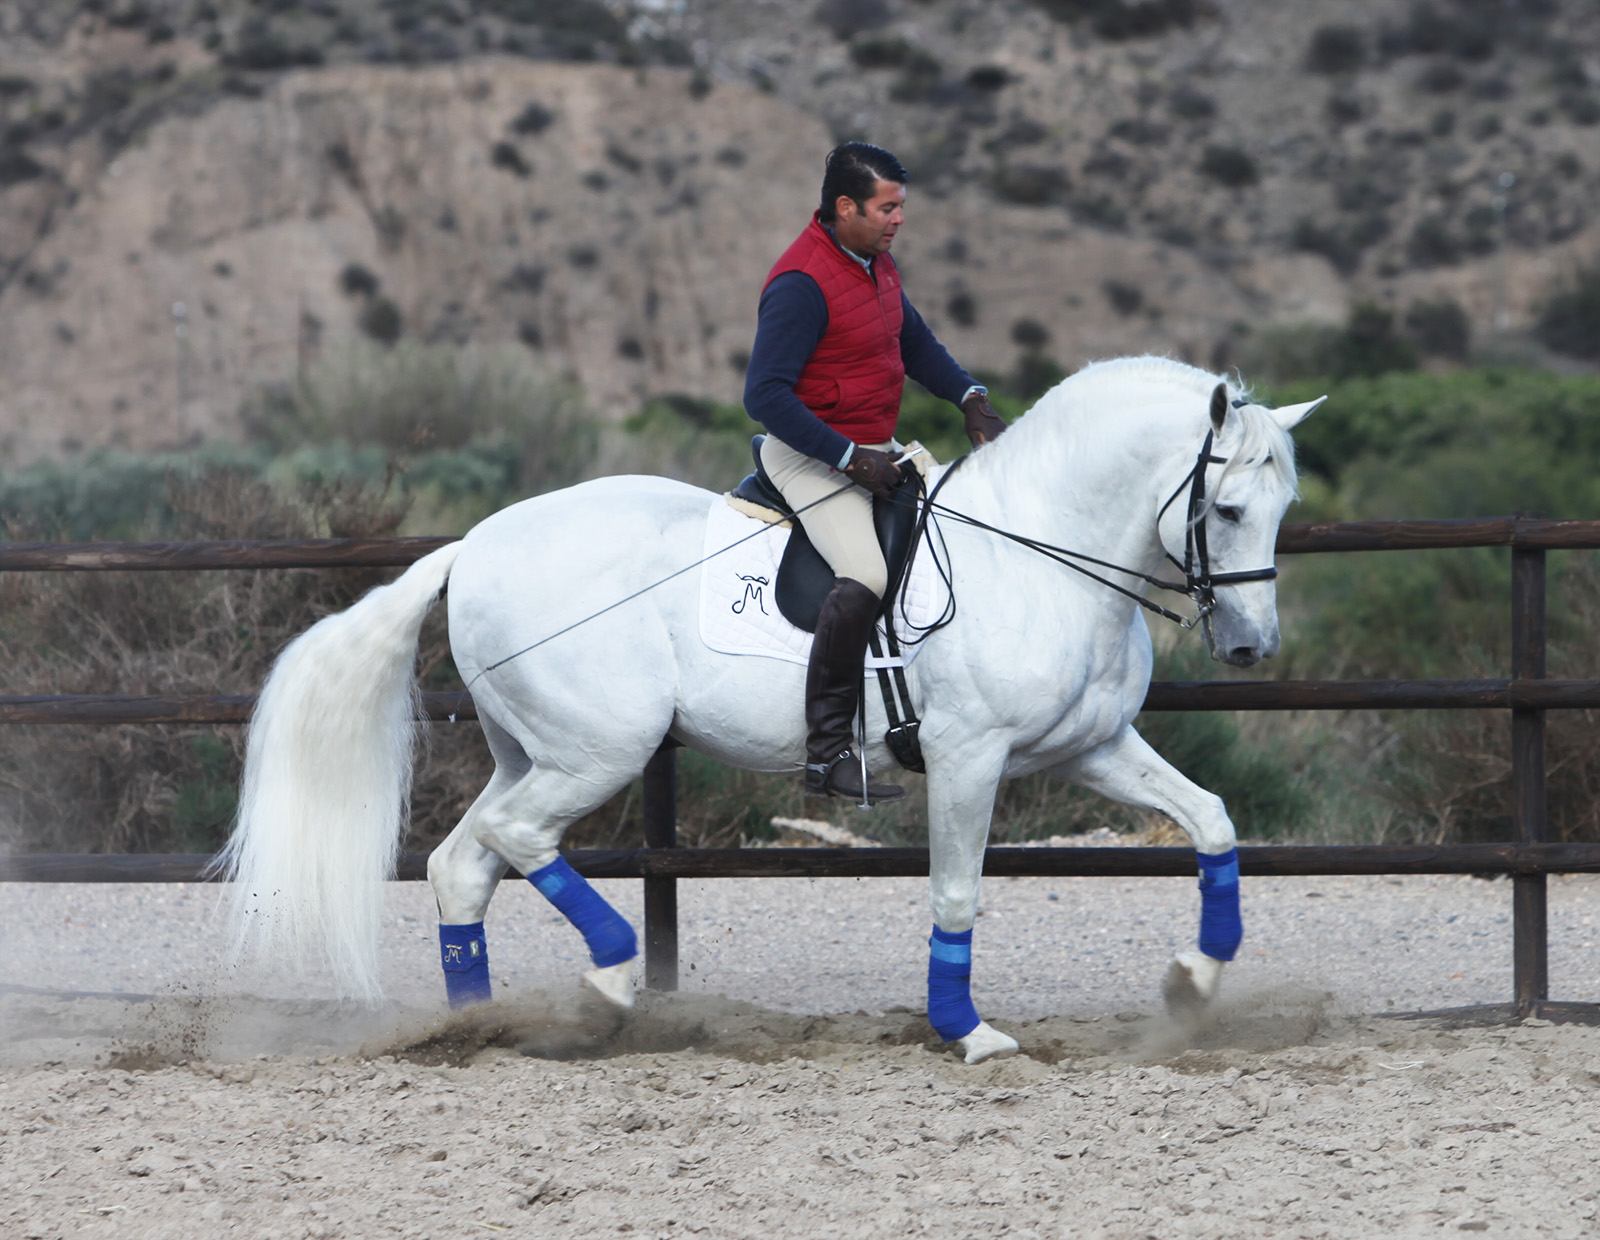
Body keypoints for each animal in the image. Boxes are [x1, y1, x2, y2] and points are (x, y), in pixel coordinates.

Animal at [221, 355, 1322, 1064]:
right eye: (1226, 508)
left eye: (1283, 508)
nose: (1250, 647)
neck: (1040, 552)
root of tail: (472, 544)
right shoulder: (970, 758)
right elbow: (956, 895)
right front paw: (966, 1032)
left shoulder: (1091, 746)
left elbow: (1211, 820)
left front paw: (1193, 982)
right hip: (598, 749)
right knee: (514, 838)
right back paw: (609, 980)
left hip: (532, 749)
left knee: (464, 861)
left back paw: (475, 1025)